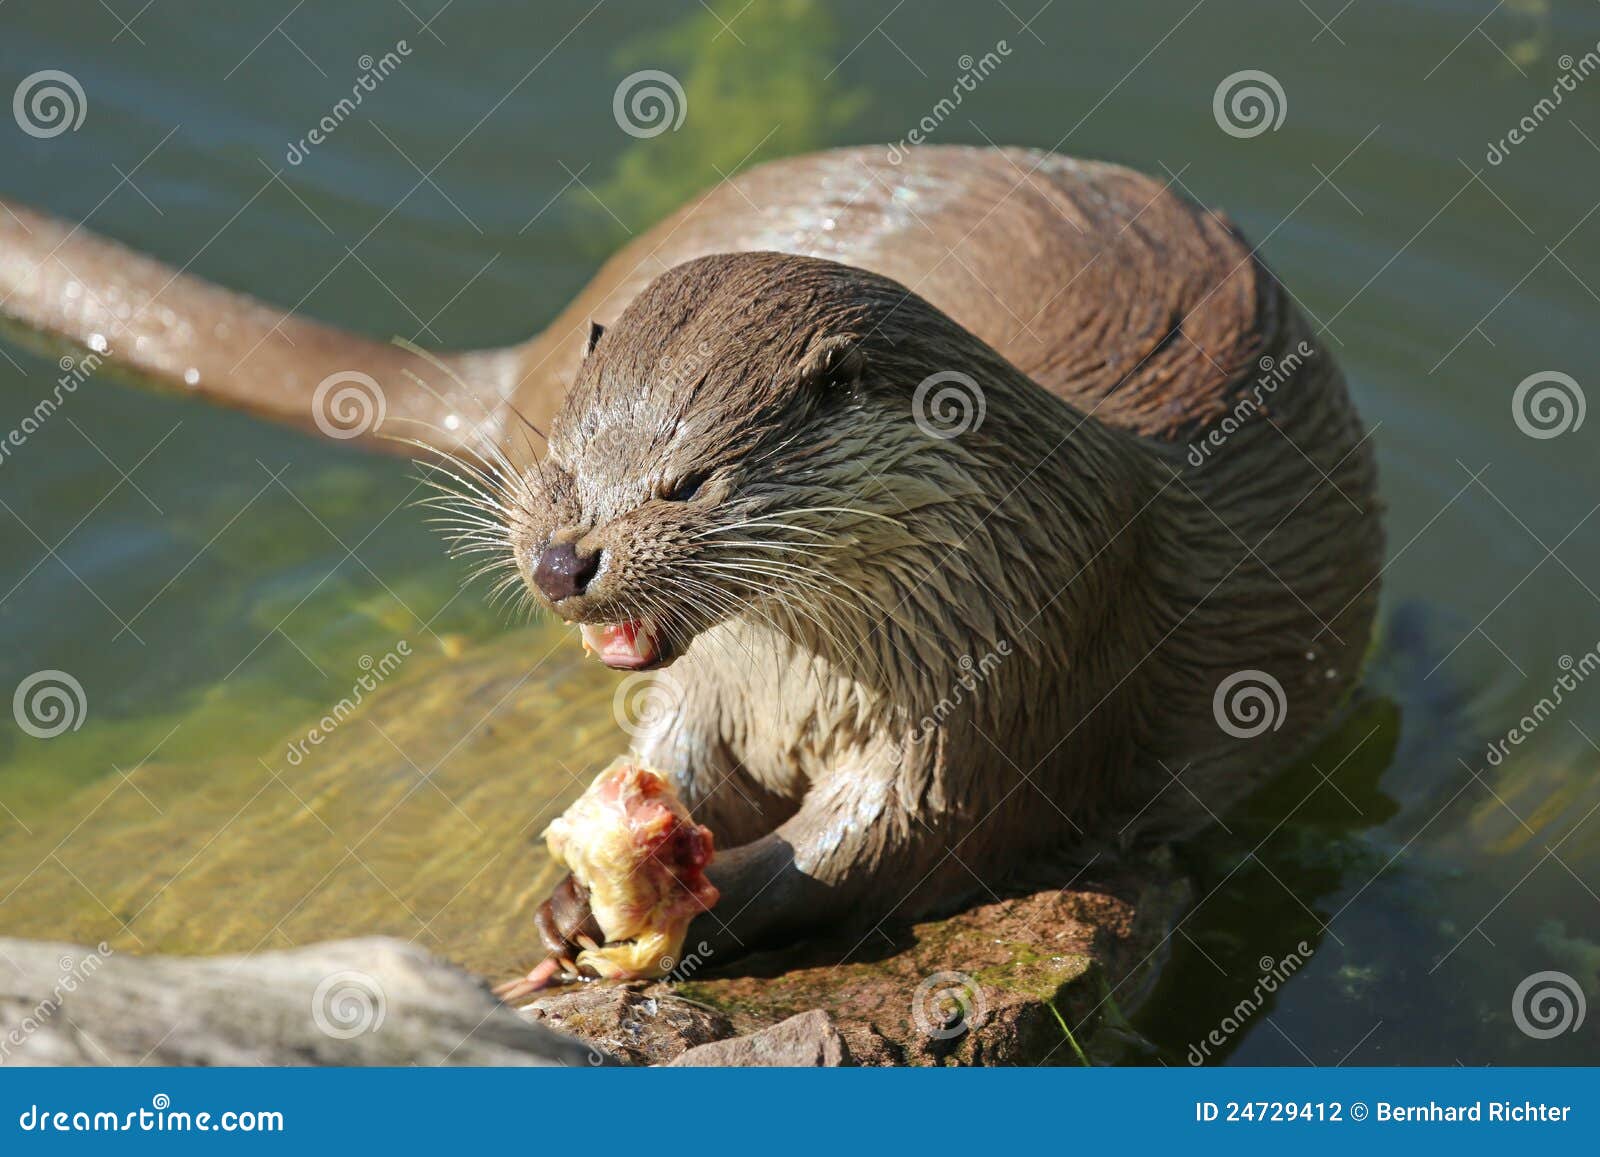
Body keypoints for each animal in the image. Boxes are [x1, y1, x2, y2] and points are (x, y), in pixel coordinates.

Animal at [0, 146, 1381, 963]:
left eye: (687, 481)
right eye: (567, 461)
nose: (563, 559)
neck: (814, 671)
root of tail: (532, 349)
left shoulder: (1017, 665)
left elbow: (891, 838)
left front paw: (703, 906)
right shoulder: (722, 686)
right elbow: (674, 756)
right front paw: (575, 894)